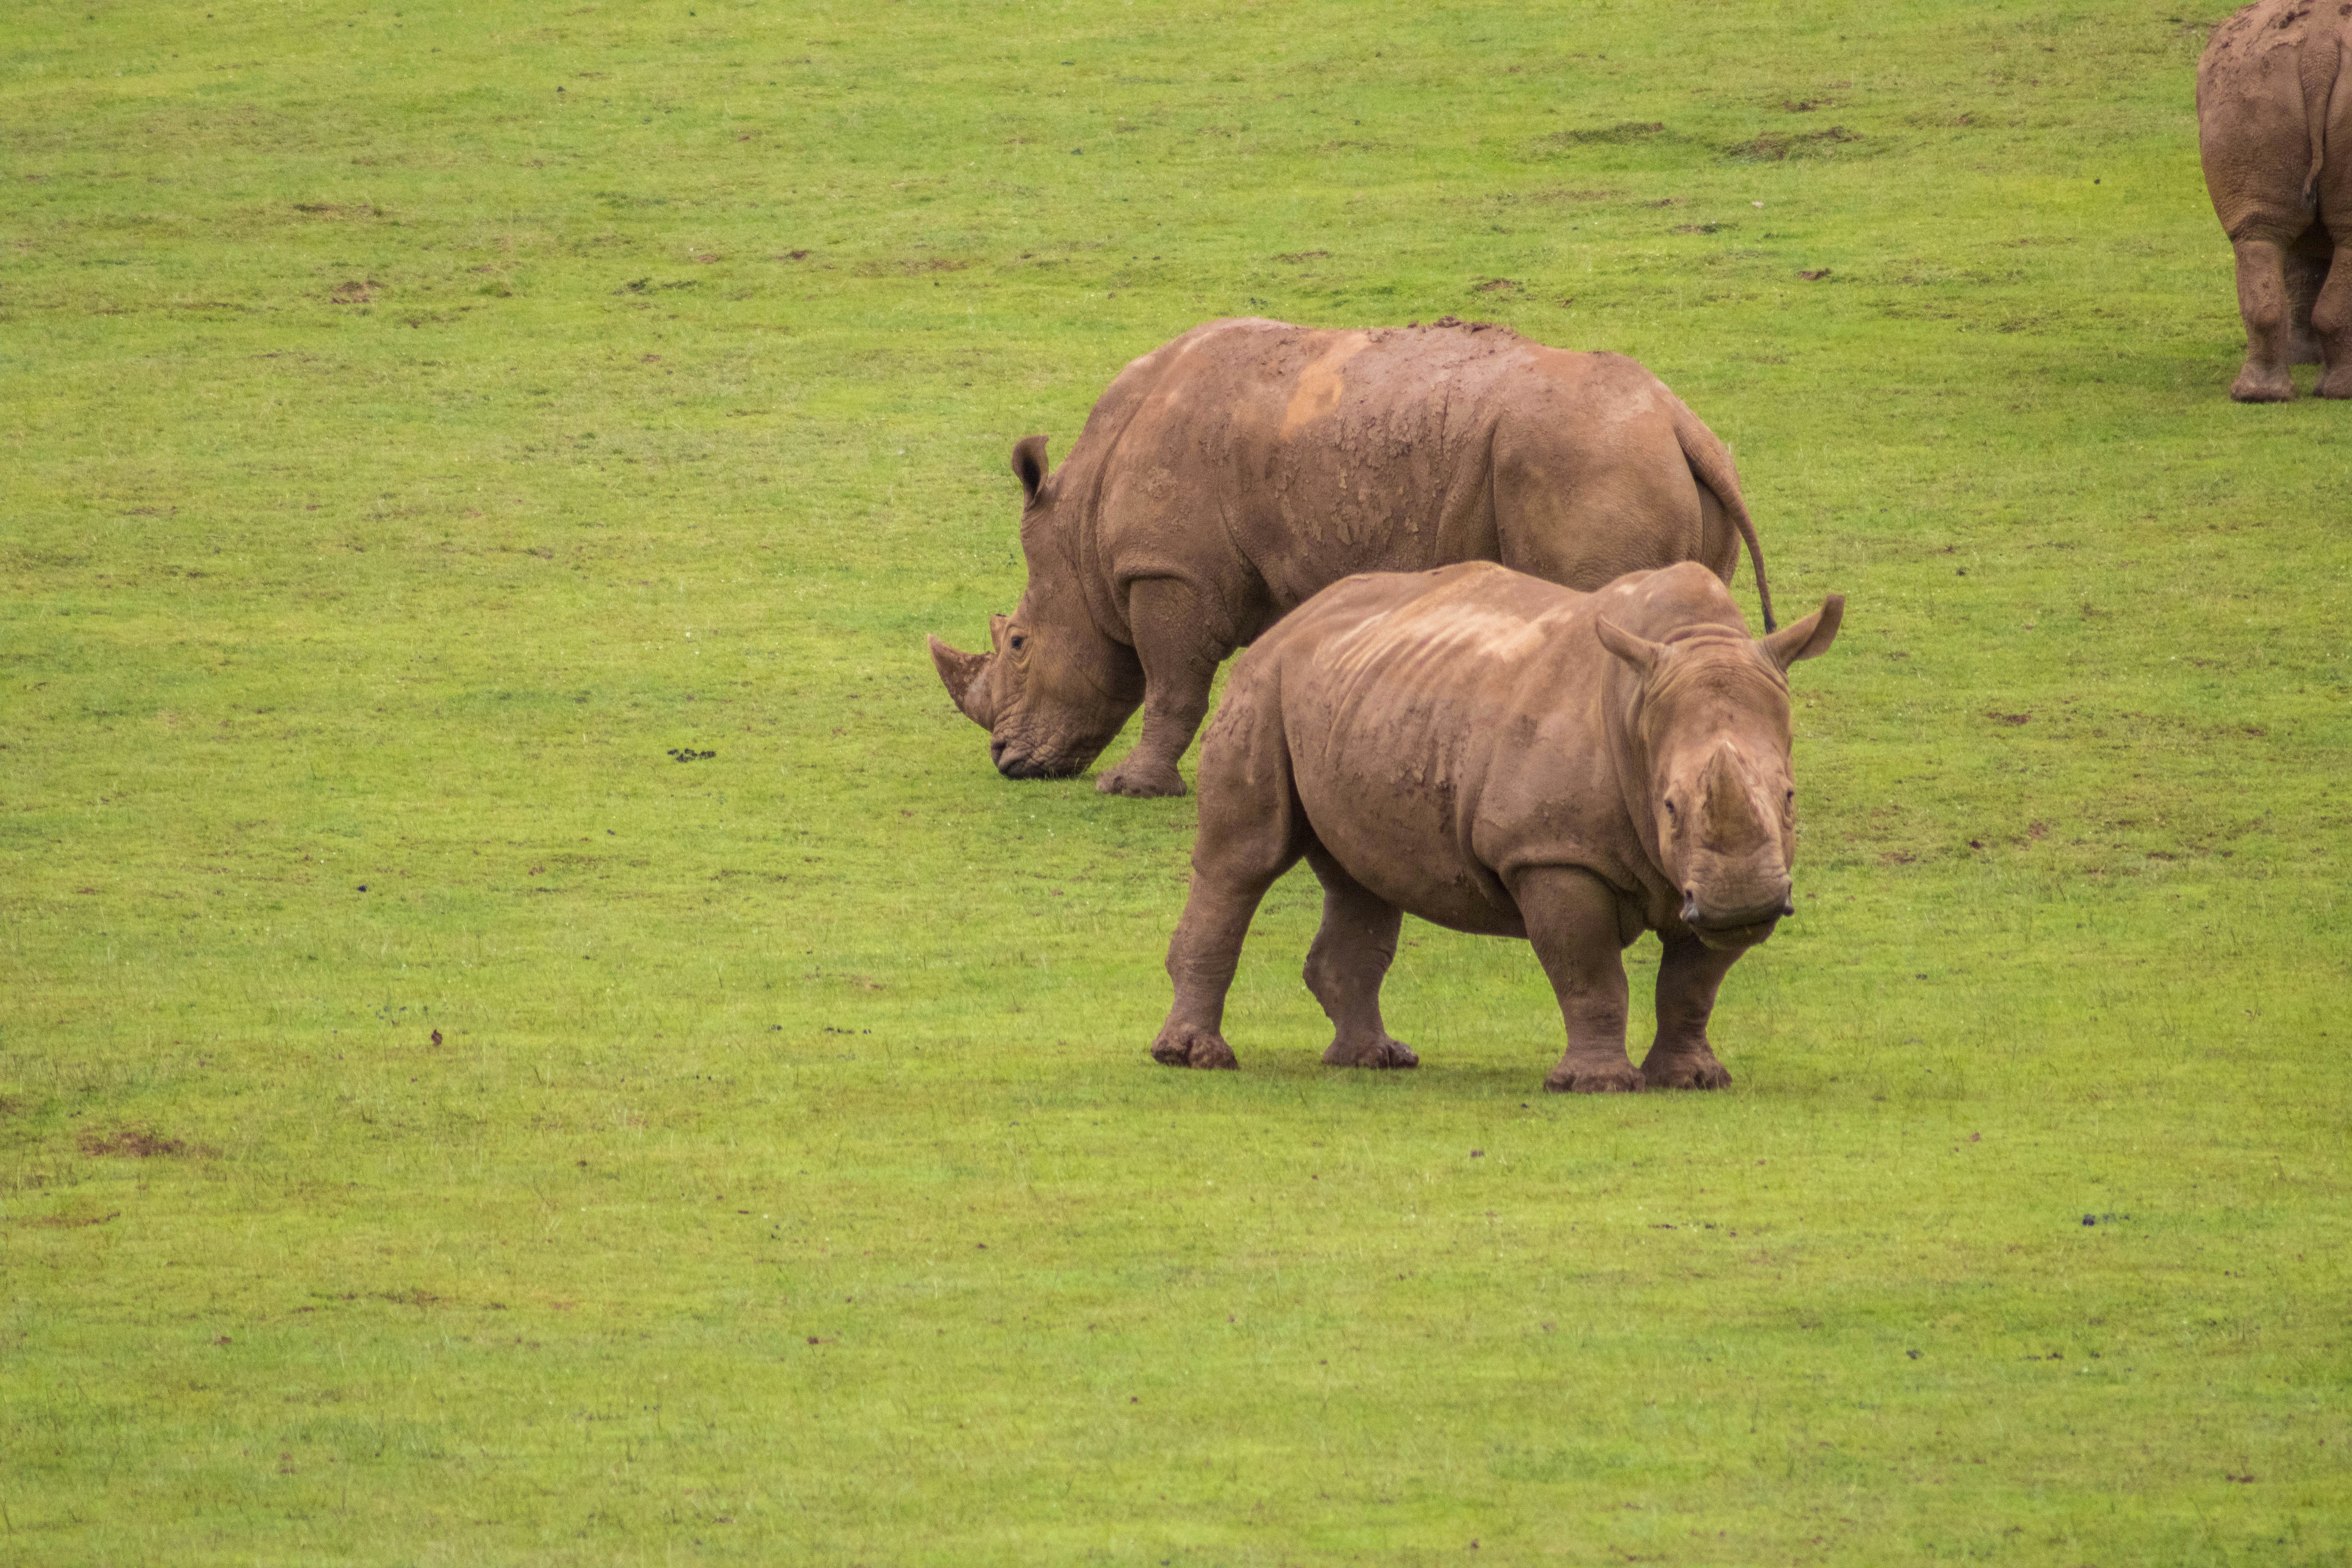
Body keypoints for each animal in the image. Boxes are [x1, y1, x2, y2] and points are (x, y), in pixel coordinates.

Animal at [928, 316, 1777, 798]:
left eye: (1018, 643)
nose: (1006, 759)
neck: (1078, 527)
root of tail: (1676, 422)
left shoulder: (1168, 569)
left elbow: (1172, 684)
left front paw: (1129, 789)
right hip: (1629, 461)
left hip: (1586, 460)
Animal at [1148, 560, 1842, 1093]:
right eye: (1668, 806)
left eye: (1789, 796)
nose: (1744, 903)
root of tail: (1293, 619)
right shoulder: (1551, 853)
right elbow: (1590, 973)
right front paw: (1597, 1086)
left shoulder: (1705, 880)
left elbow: (1693, 983)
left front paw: (1693, 1080)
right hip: (1264, 682)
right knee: (1243, 862)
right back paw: (1194, 1059)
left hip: (1359, 698)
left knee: (1361, 878)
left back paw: (1374, 1061)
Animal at [2198, 0, 2352, 400]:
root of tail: (2320, 46)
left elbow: (2302, 270)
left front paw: (2303, 359)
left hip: (2253, 89)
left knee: (2259, 236)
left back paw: (2259, 396)